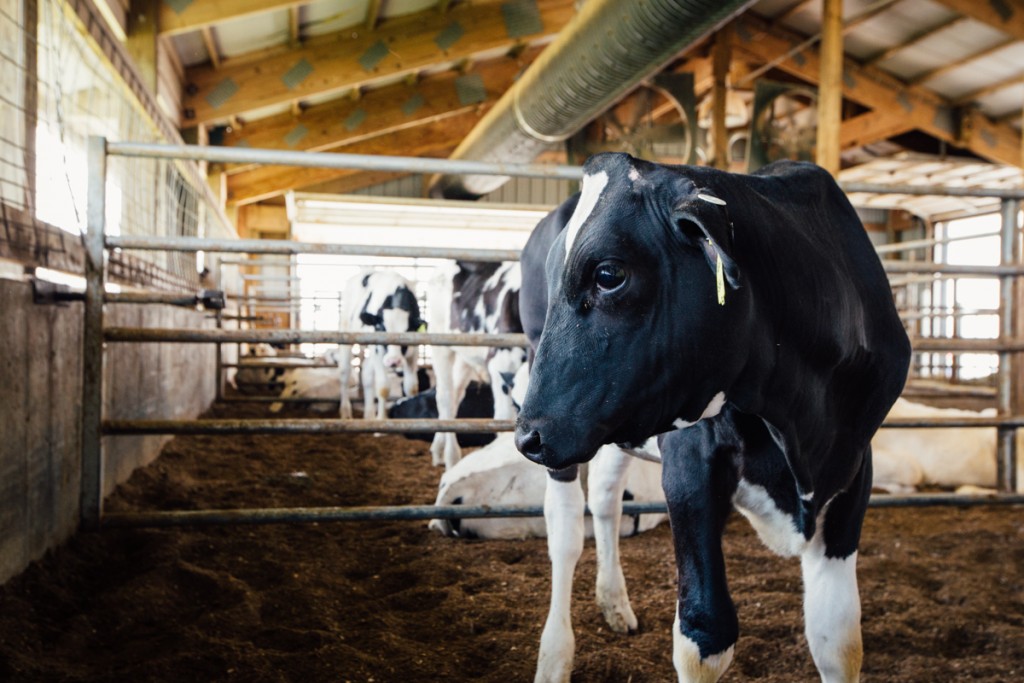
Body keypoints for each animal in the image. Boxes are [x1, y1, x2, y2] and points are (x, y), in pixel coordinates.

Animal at [338, 270, 424, 420]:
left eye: (408, 331)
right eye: (380, 328)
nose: (393, 361)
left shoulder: (414, 352)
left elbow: (411, 388)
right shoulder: (378, 352)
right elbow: (383, 388)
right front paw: (382, 420)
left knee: (366, 373)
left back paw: (369, 415)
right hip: (346, 331)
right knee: (345, 372)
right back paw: (345, 412)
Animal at [428, 260, 527, 469]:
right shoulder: (500, 366)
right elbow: (503, 419)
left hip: (466, 358)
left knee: (456, 396)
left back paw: (438, 450)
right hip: (440, 344)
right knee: (445, 398)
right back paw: (451, 458)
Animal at [513, 153, 912, 683]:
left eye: (608, 274)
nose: (526, 437)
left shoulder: (853, 467)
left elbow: (838, 635)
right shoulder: (691, 463)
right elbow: (706, 632)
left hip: (606, 424)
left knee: (605, 498)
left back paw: (614, 603)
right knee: (564, 533)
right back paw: (555, 656)